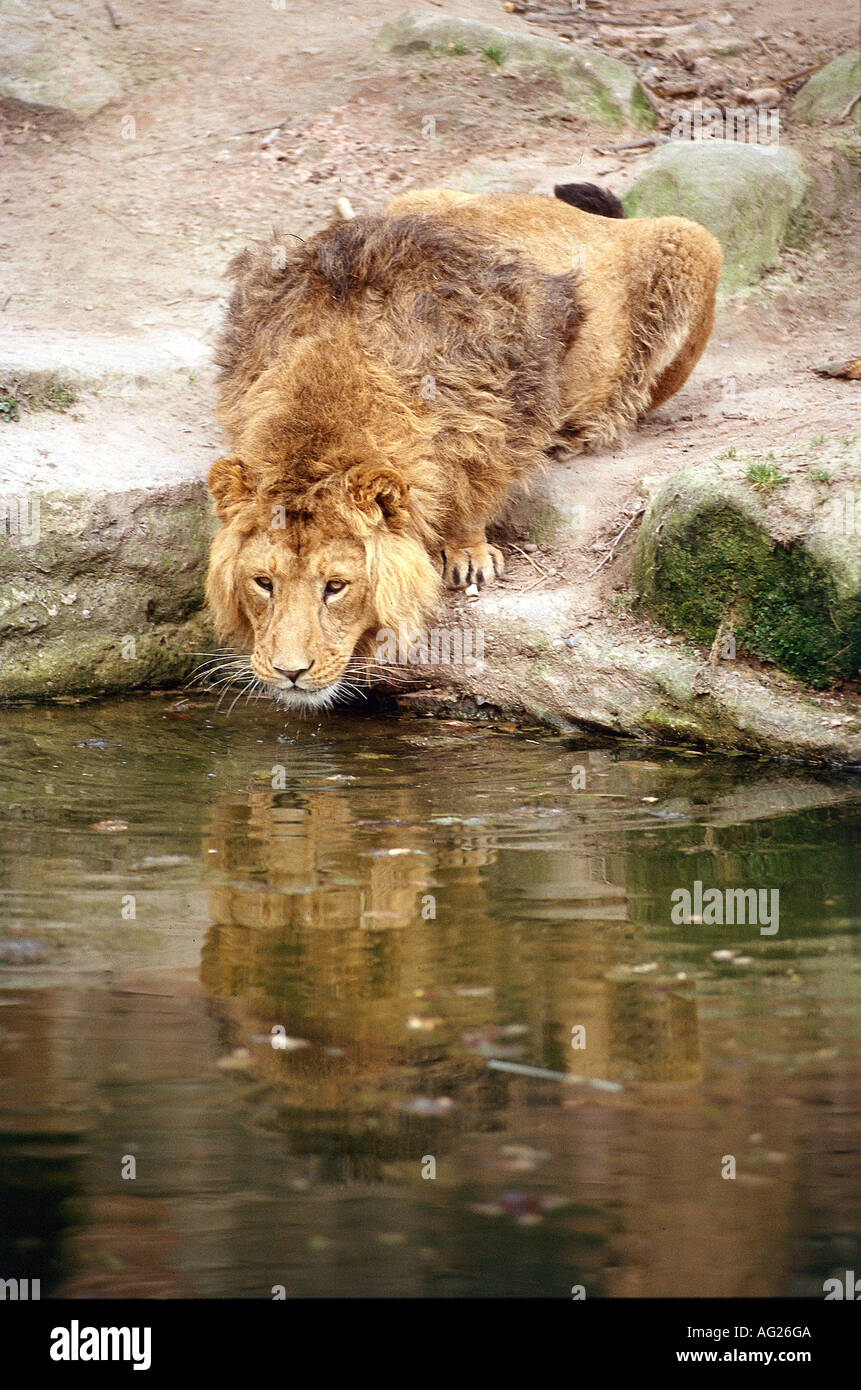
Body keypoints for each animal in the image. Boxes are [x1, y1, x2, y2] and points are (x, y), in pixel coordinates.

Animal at [206, 184, 722, 710]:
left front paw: (468, 552)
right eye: (263, 583)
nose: (289, 672)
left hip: (692, 242)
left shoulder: (503, 408)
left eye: (335, 587)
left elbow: (477, 482)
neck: (337, 354)